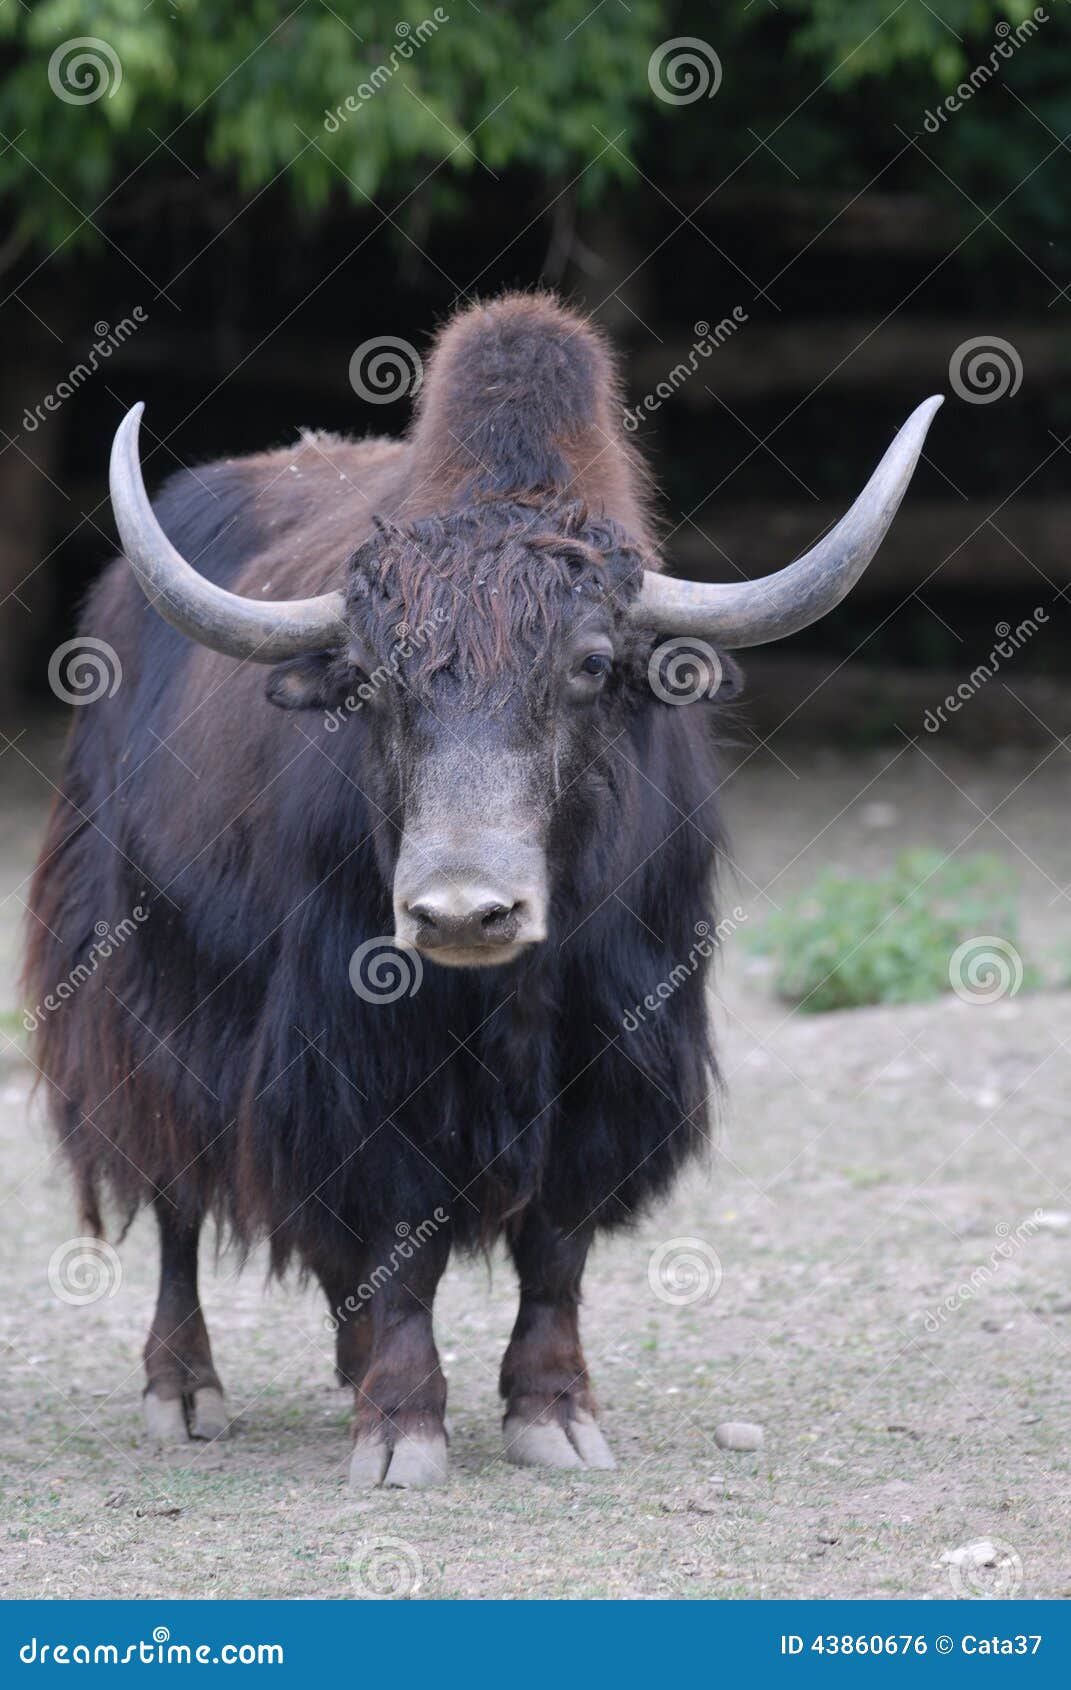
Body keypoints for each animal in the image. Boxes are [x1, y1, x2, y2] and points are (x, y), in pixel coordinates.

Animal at [24, 293, 940, 1488]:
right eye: (368, 681)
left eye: (592, 665)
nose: (464, 913)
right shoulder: (364, 1048)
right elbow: (402, 1224)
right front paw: (402, 1430)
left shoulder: (616, 1048)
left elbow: (557, 1241)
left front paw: (554, 1416)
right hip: (137, 984)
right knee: (173, 1181)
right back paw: (184, 1391)